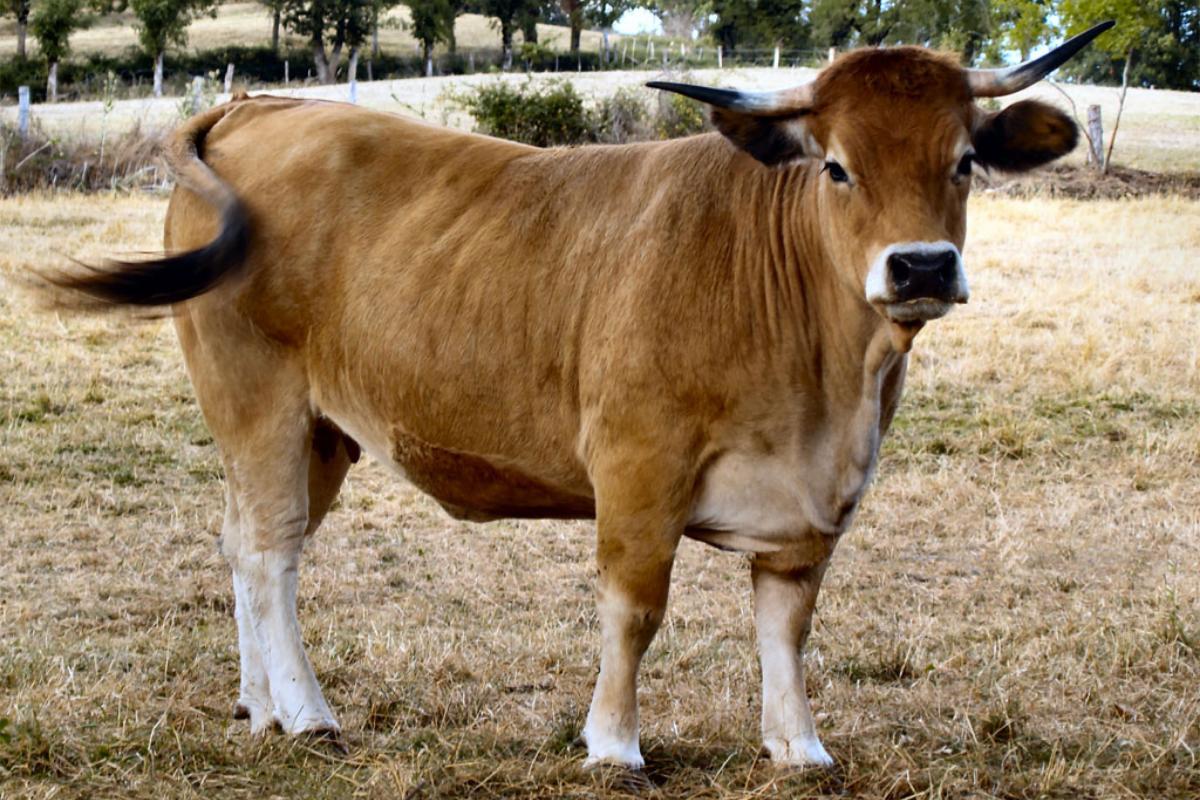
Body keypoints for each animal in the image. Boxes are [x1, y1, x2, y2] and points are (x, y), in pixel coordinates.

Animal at [43, 22, 1112, 770]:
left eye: (963, 161)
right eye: (837, 166)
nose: (921, 266)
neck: (829, 385)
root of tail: (264, 105)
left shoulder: (815, 509)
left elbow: (787, 626)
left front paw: (799, 747)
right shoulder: (639, 470)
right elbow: (635, 611)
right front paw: (614, 744)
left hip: (315, 432)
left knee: (244, 544)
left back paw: (260, 705)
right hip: (256, 400)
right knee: (269, 554)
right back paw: (307, 715)